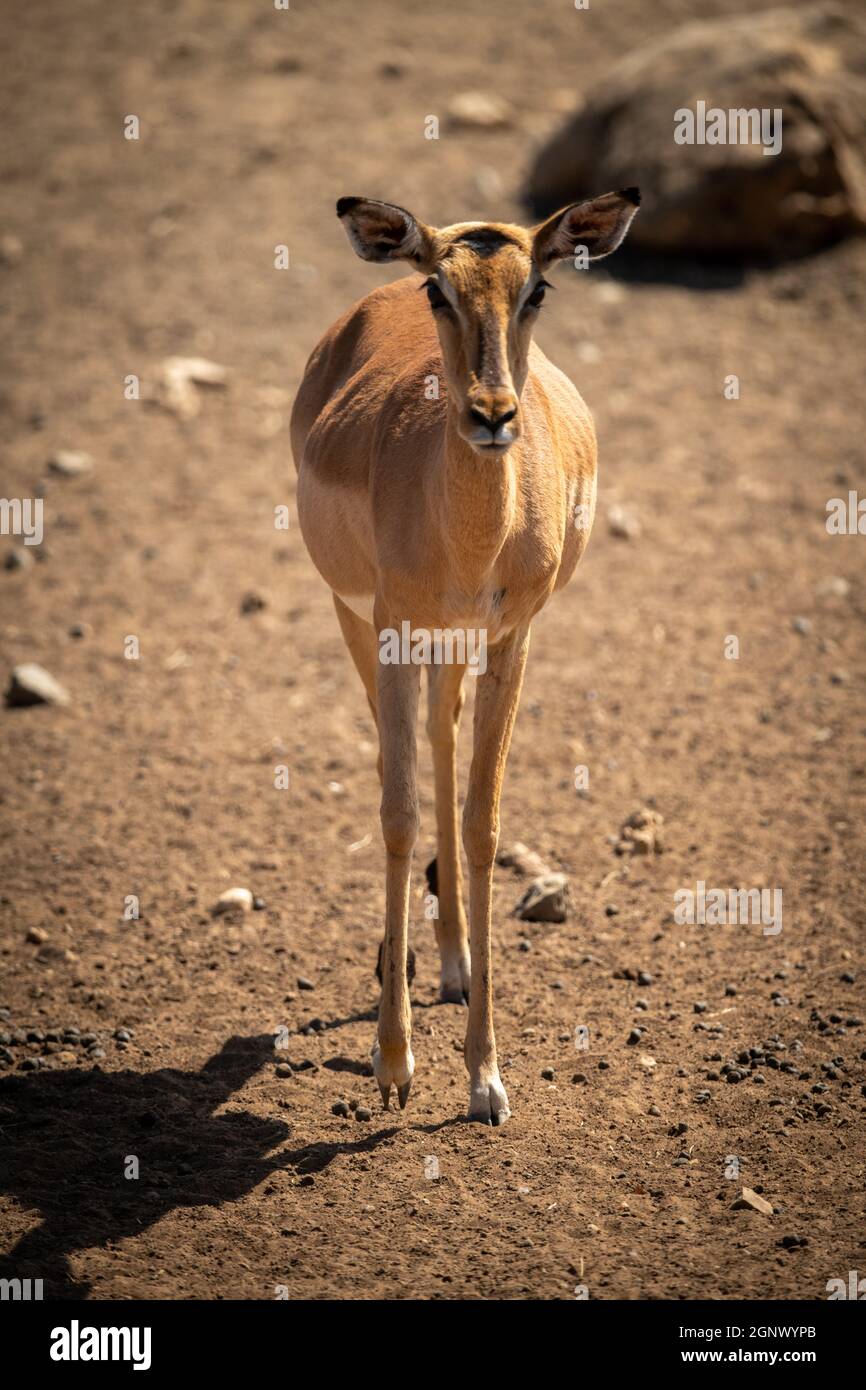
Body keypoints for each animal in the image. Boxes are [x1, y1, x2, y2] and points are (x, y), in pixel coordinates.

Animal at [291, 189, 639, 1124]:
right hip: (366, 625)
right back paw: (413, 966)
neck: (475, 536)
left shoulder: (513, 639)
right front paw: (394, 1062)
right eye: (438, 290)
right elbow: (398, 813)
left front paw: (485, 1076)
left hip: (454, 646)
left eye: (538, 289)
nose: (491, 415)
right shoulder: (389, 629)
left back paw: (453, 963)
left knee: (444, 739)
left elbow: (483, 824)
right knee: (416, 760)